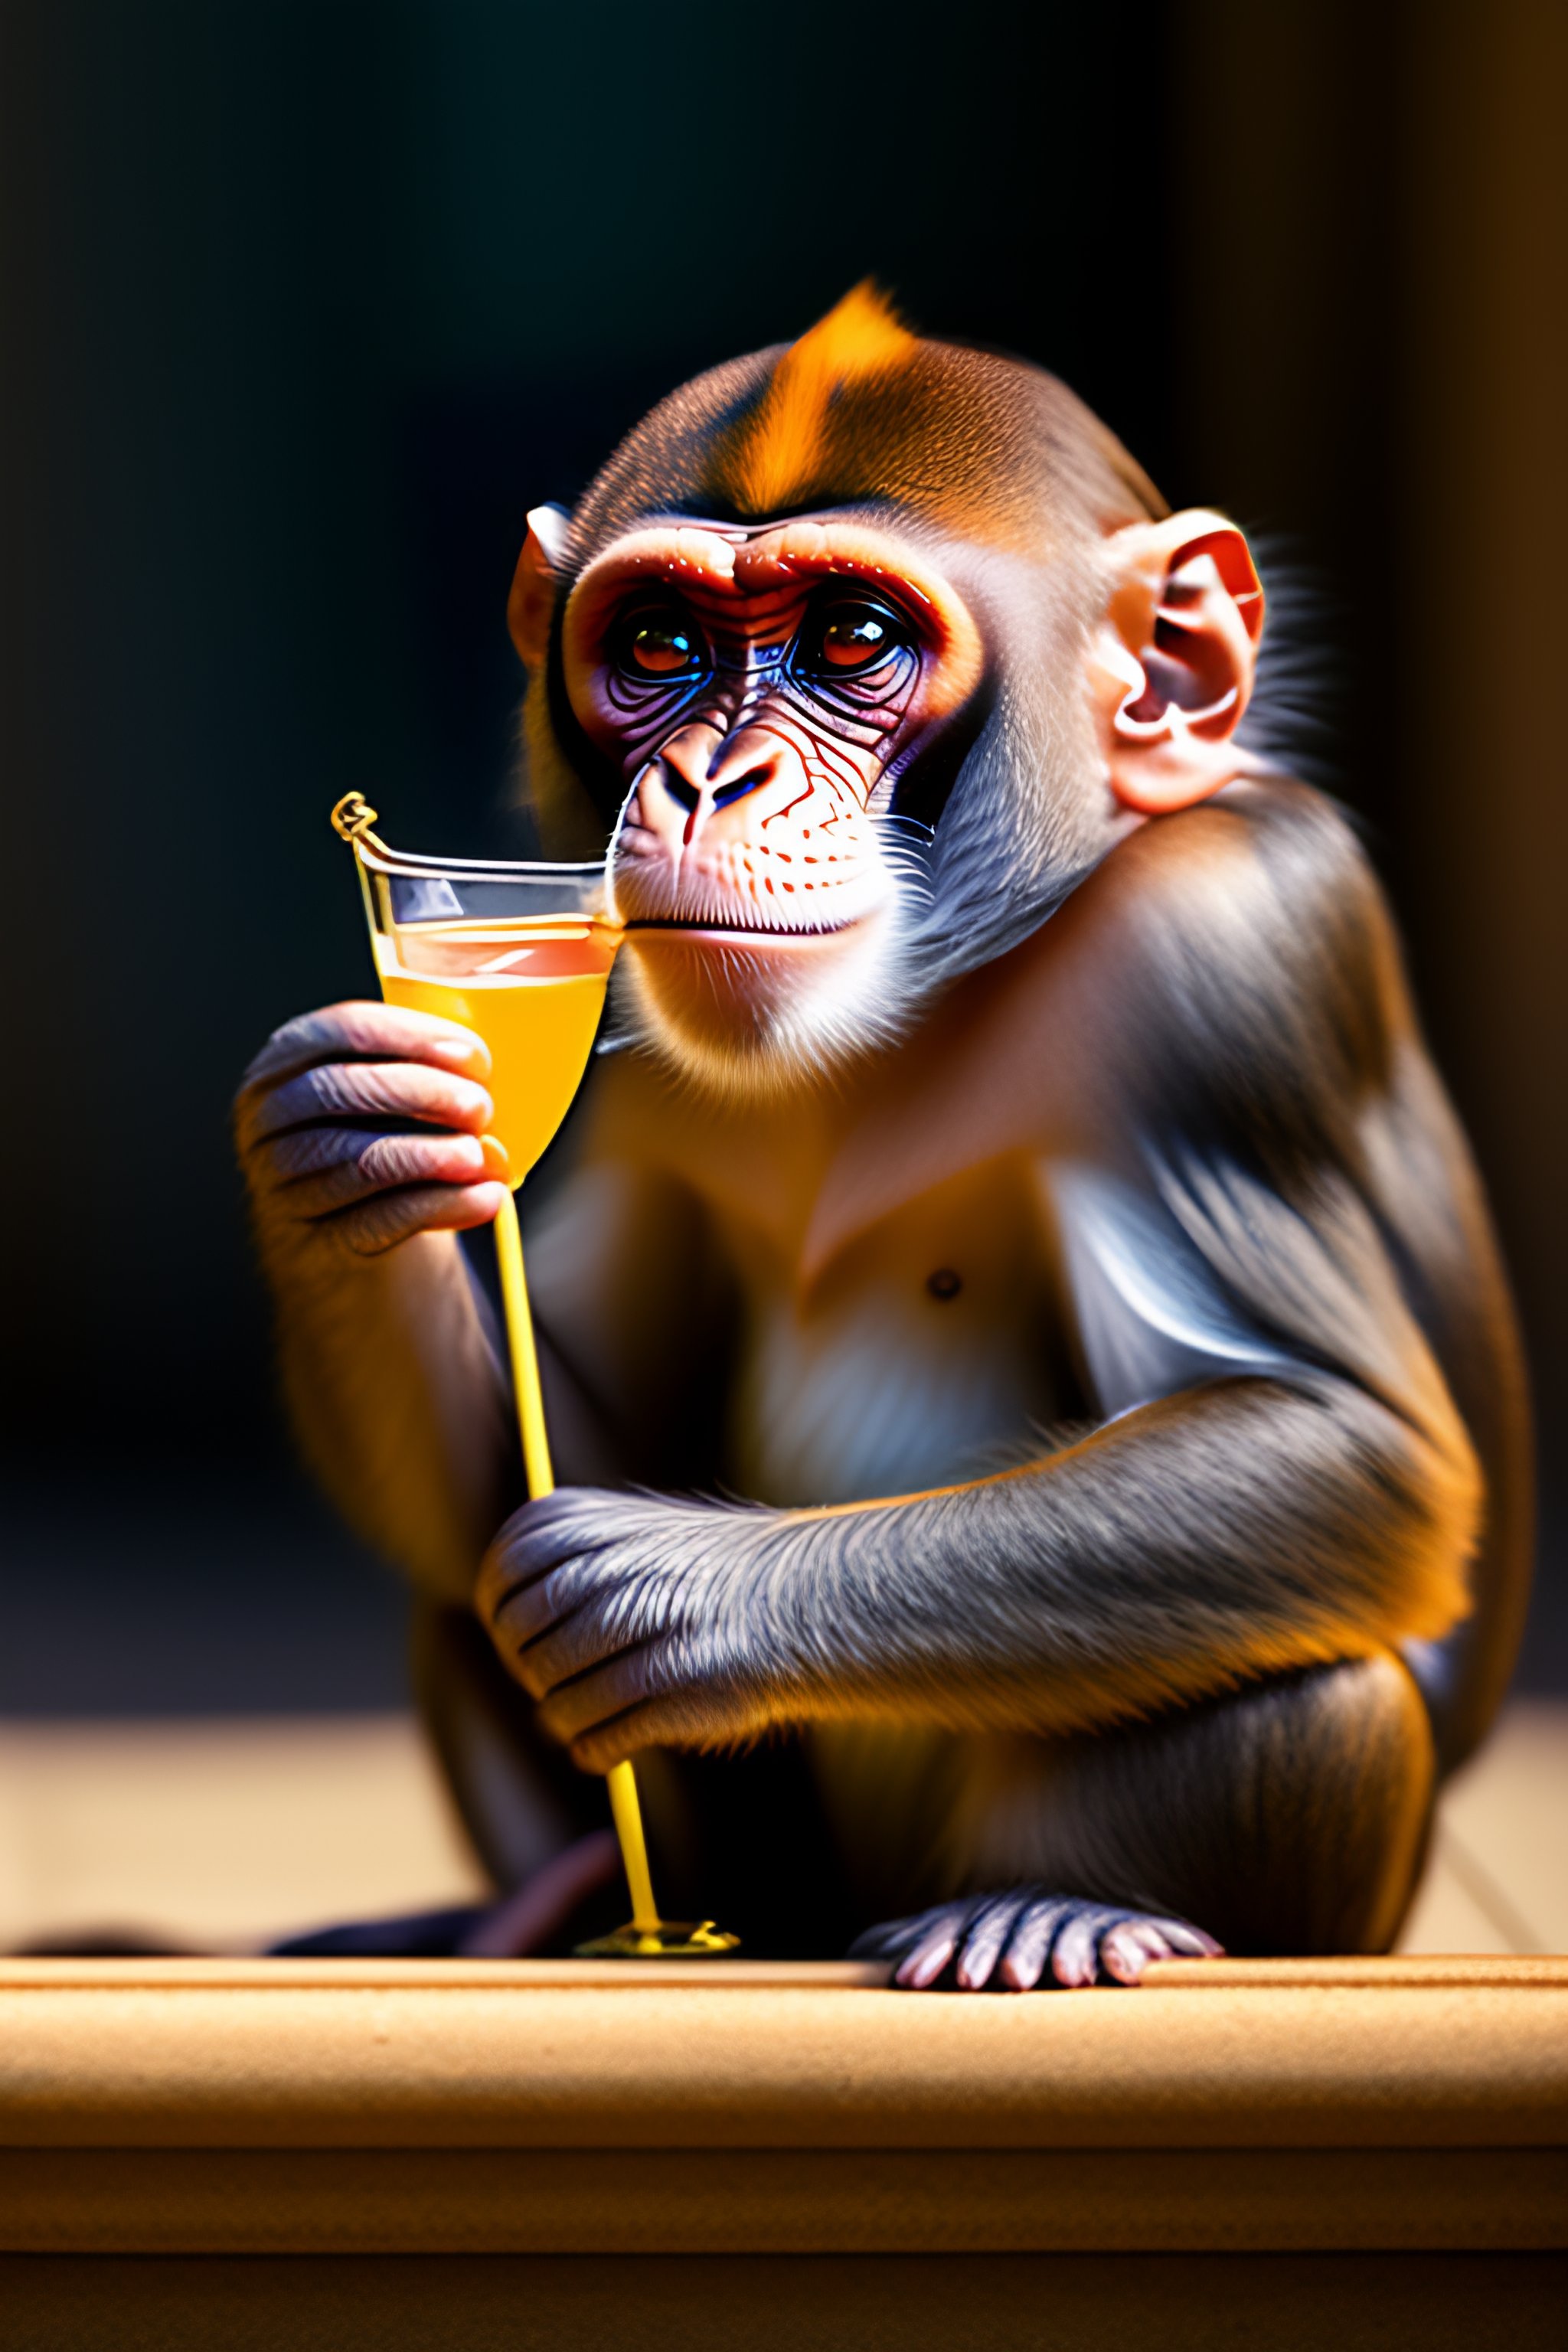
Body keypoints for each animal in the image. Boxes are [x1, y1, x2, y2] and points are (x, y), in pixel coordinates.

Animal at [236, 286, 1532, 1986]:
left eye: (853, 637)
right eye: (657, 646)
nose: (707, 778)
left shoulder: (1228, 945)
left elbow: (1340, 1444)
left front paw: (670, 1594)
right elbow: (535, 1451)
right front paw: (338, 1137)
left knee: (1299, 1665)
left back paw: (1058, 1908)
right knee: (458, 1594)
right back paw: (558, 1913)